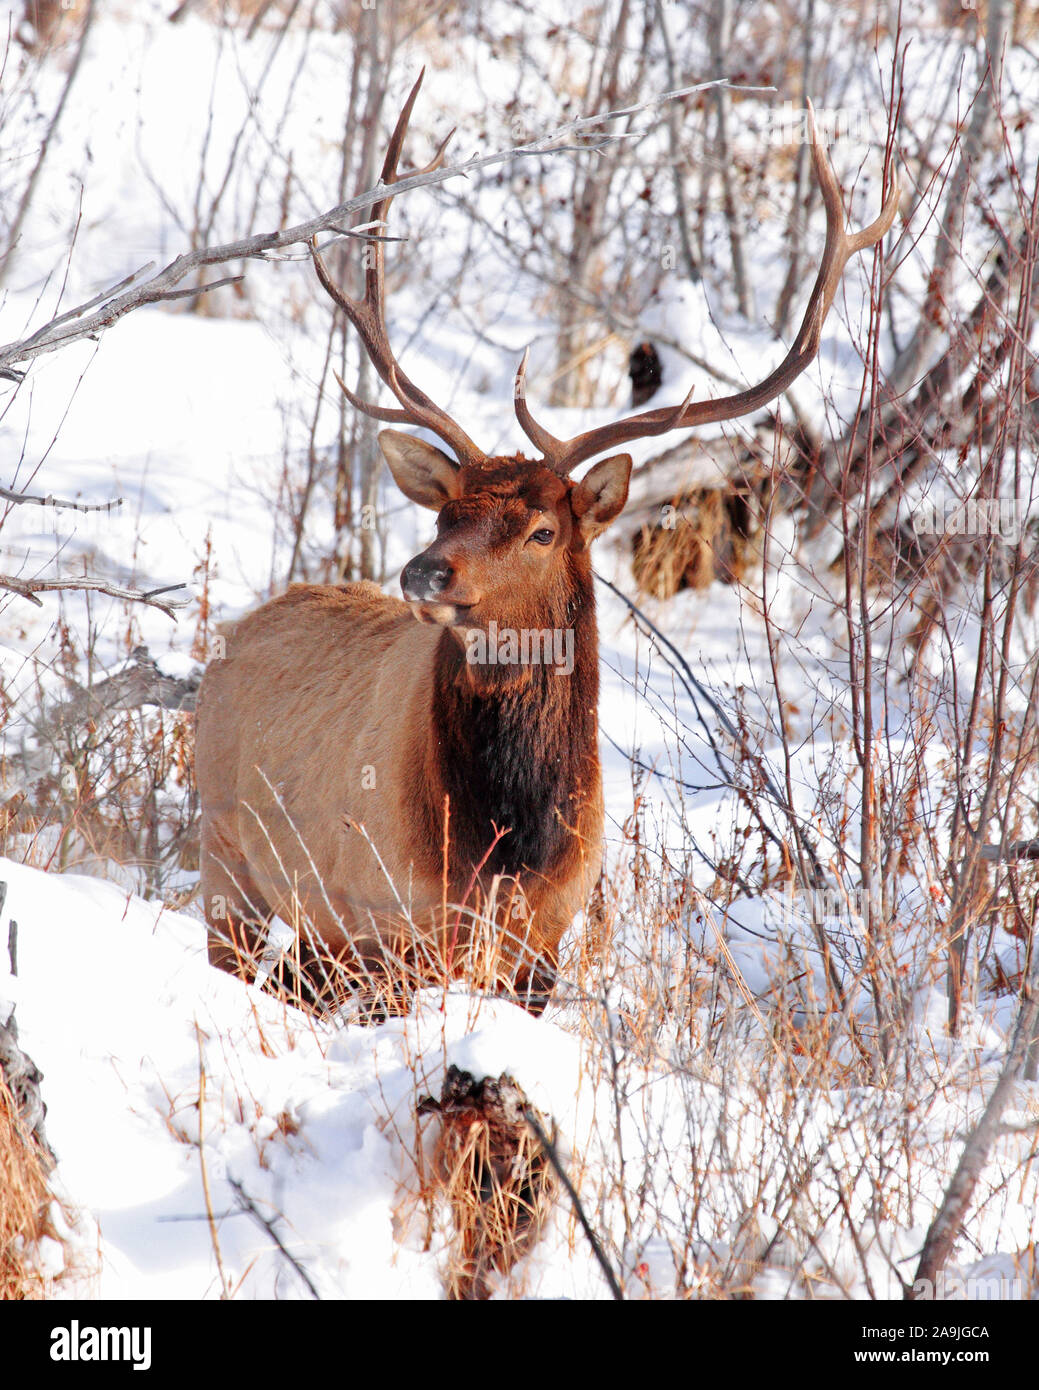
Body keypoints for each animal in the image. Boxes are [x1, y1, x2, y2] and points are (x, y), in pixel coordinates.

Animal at [195, 74, 898, 1016]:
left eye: (541, 529)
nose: (425, 571)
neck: (502, 853)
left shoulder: (542, 947)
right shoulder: (387, 928)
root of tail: (235, 634)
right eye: (443, 513)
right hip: (228, 865)